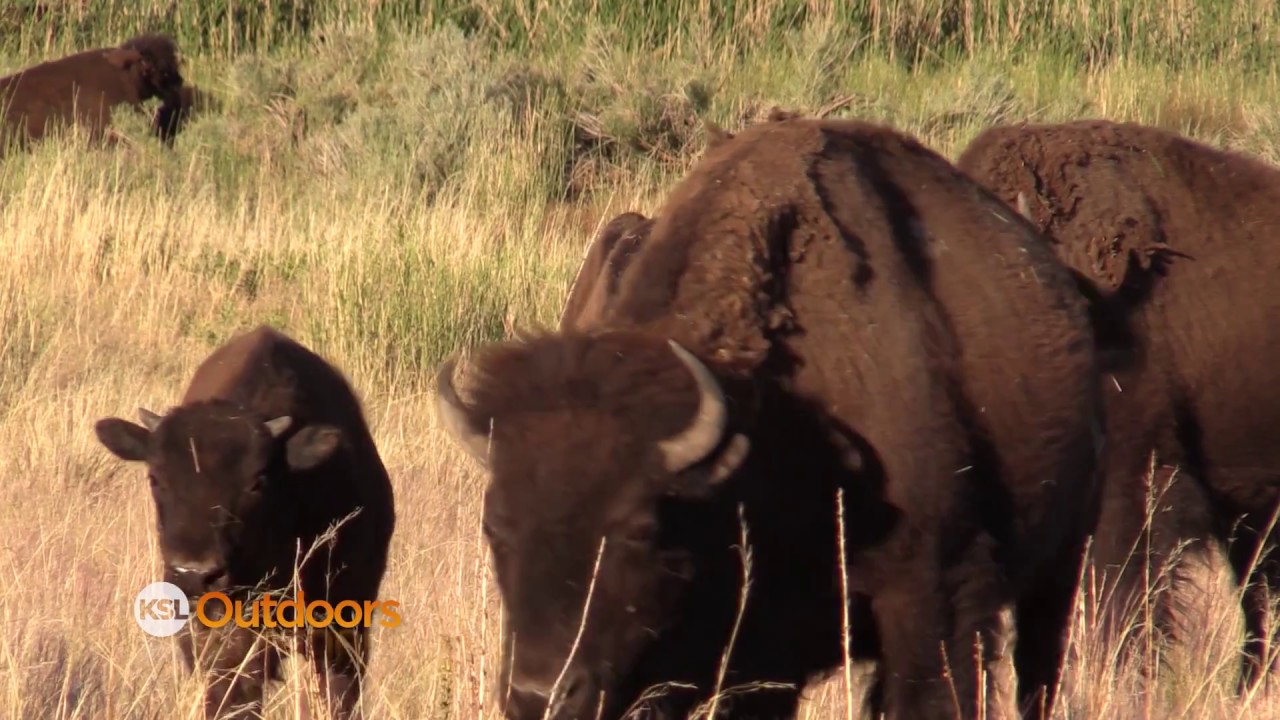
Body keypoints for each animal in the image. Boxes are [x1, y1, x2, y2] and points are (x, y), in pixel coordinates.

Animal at [437, 115, 1104, 720]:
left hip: (1059, 567)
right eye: (494, 527)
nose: (539, 696)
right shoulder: (750, 658)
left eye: (639, 531)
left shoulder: (931, 598)